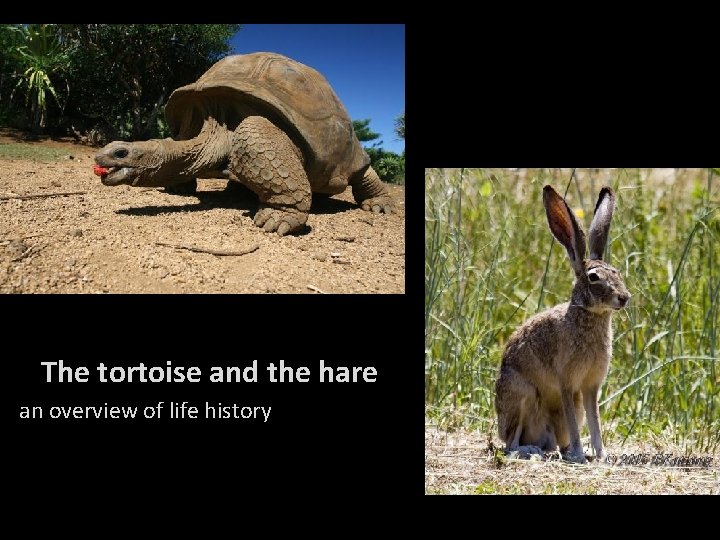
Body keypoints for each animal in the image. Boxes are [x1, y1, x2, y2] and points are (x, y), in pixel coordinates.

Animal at [495, 185, 630, 464]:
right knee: (511, 443)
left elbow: (595, 419)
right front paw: (580, 455)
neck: (590, 315)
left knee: (558, 438)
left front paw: (601, 455)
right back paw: (531, 450)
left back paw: (562, 450)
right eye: (593, 277)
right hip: (521, 394)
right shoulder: (567, 382)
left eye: (617, 272)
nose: (624, 298)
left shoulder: (590, 387)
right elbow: (576, 422)